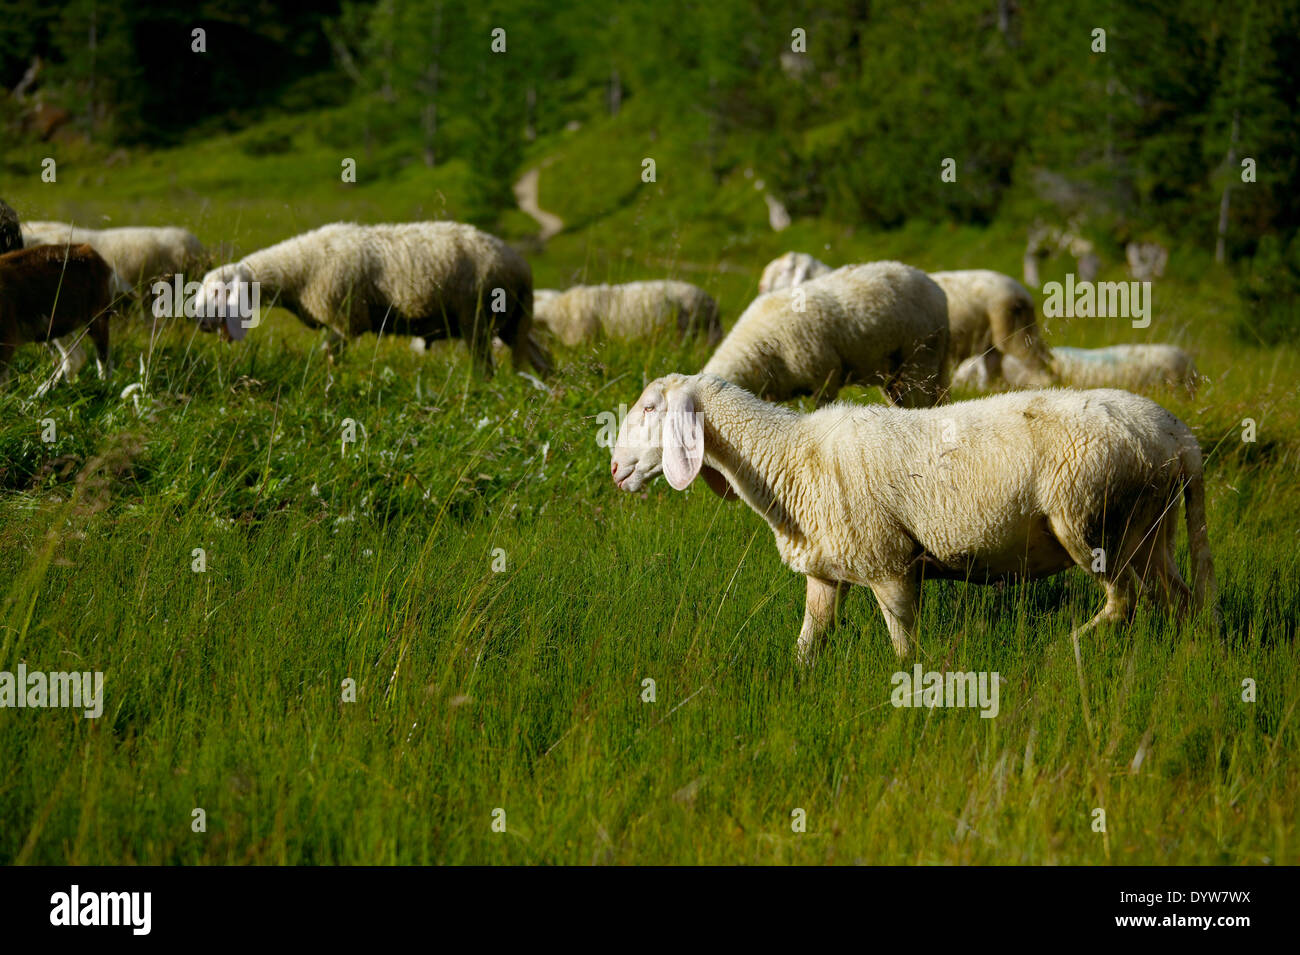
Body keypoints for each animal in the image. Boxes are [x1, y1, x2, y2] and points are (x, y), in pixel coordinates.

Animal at [0, 244, 126, 386]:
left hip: (98, 315)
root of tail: (89, 251)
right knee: (75, 357)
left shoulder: (6, 337)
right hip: (57, 325)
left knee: (104, 358)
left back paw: (103, 385)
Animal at [196, 222, 552, 378]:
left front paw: (332, 382)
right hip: (513, 321)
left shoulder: (346, 320)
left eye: (218, 292)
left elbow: (331, 356)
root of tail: (521, 267)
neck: (299, 270)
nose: (199, 322)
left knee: (486, 369)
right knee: (541, 358)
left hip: (477, 317)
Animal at [611, 373, 1218, 662]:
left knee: (1123, 601)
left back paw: (1061, 650)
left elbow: (905, 651)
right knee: (1178, 598)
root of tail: (1179, 438)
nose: (615, 469)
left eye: (650, 408)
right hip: (1149, 526)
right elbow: (809, 643)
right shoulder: (825, 573)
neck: (788, 457)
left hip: (1089, 518)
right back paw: (1190, 655)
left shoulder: (891, 568)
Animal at [757, 252, 1054, 382]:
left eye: (782, 271)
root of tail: (1023, 291)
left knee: (1039, 364)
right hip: (993, 343)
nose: (759, 288)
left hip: (1015, 331)